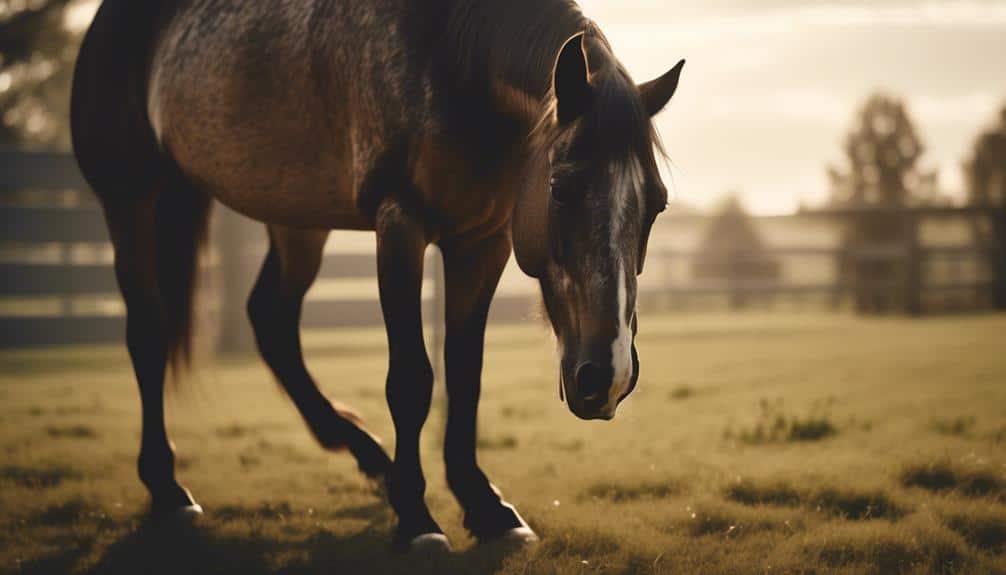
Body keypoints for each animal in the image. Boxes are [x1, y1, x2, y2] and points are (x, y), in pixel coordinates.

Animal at [70, 0, 684, 552]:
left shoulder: (480, 244)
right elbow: (411, 379)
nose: (606, 377)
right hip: (130, 202)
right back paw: (169, 489)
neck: (453, 56)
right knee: (149, 334)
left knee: (269, 319)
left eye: (656, 204)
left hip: (297, 223)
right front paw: (416, 516)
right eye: (561, 186)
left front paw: (483, 506)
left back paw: (368, 457)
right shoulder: (400, 225)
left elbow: (465, 376)